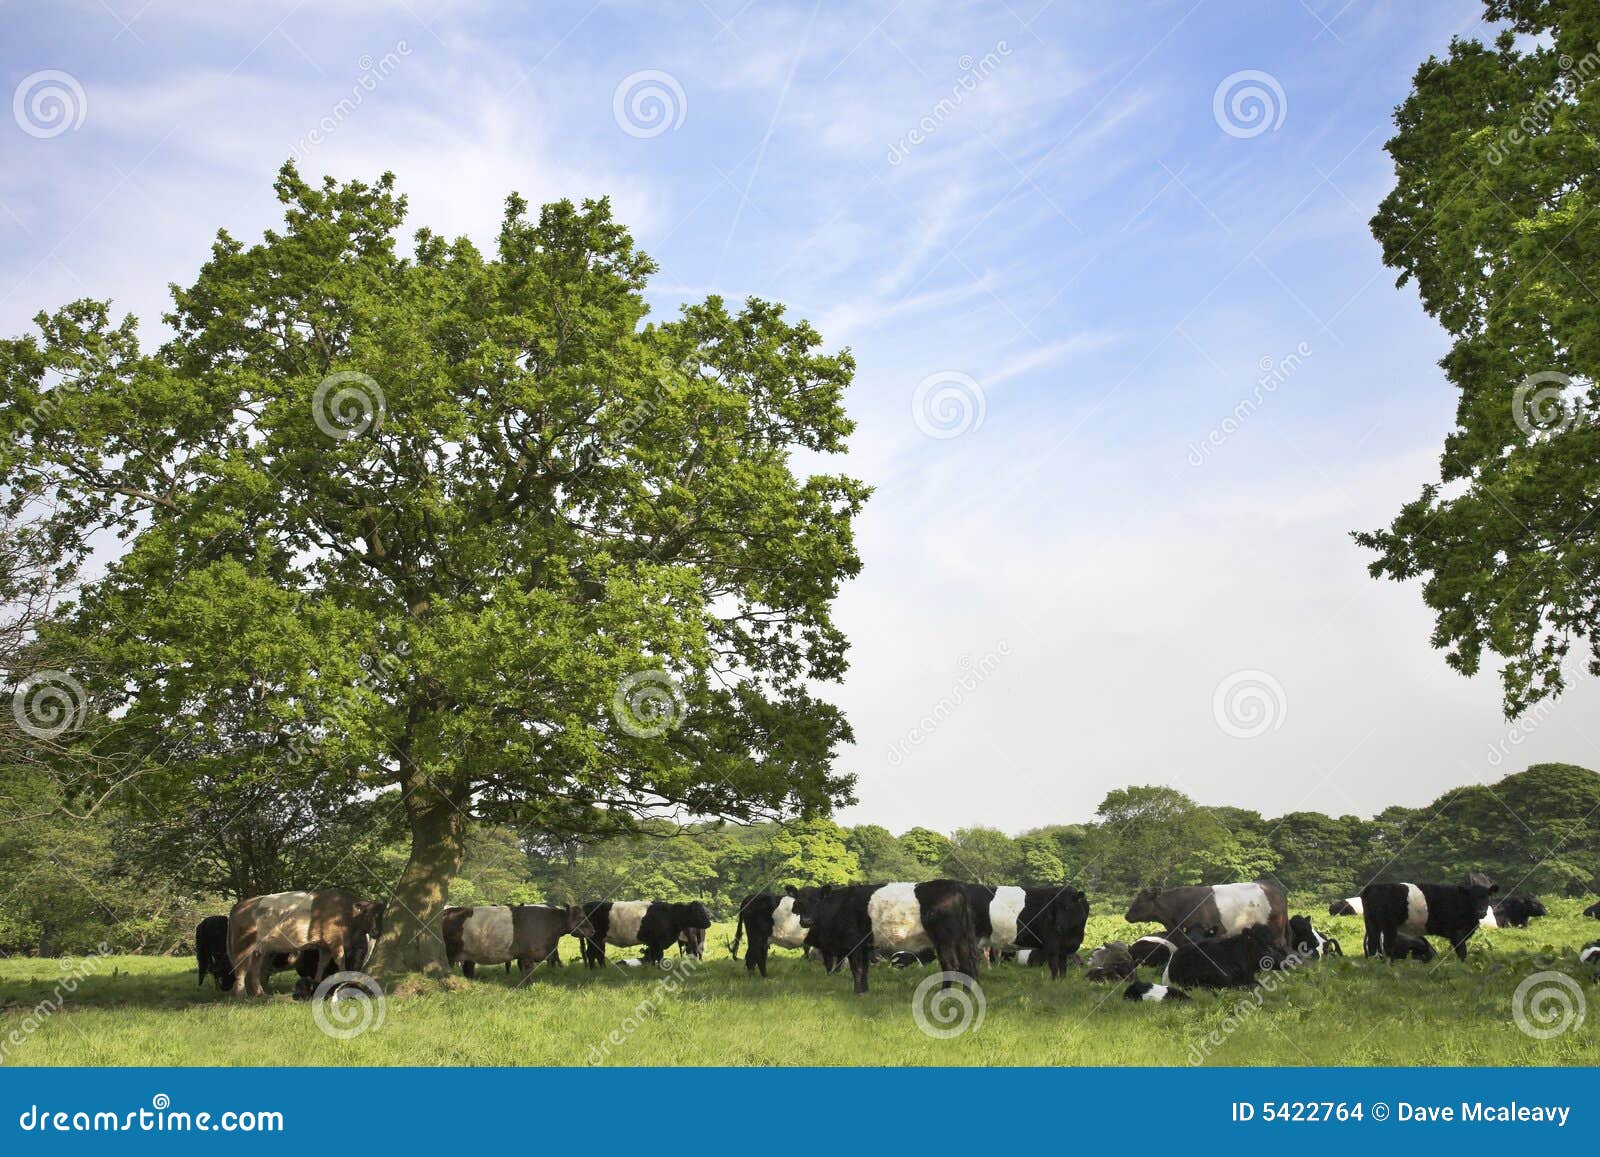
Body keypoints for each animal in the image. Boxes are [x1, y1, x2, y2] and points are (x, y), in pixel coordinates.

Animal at [226, 890, 385, 996]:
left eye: (381, 915)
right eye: (367, 914)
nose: (377, 932)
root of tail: (240, 905)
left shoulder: (324, 946)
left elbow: (322, 965)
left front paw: (317, 982)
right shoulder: (334, 941)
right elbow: (340, 960)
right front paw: (342, 979)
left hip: (259, 950)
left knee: (254, 970)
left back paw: (260, 994)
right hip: (243, 945)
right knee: (241, 968)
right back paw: (242, 994)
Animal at [442, 904, 594, 978]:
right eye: (581, 917)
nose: (593, 930)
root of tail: (448, 911)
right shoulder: (527, 956)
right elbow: (528, 974)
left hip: (469, 956)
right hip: (449, 953)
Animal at [579, 900, 712, 966]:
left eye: (705, 910)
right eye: (698, 911)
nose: (709, 923)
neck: (670, 915)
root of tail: (586, 905)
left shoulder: (653, 943)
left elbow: (655, 957)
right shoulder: (656, 942)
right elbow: (657, 956)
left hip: (599, 940)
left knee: (599, 954)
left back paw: (603, 969)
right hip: (594, 938)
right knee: (591, 954)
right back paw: (594, 970)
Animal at [786, 881, 980, 995]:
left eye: (817, 901)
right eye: (799, 902)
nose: (806, 921)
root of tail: (954, 885)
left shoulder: (854, 944)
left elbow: (856, 969)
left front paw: (857, 993)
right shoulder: (865, 946)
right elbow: (864, 969)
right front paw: (864, 992)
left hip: (945, 939)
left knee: (950, 965)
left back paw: (944, 993)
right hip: (961, 939)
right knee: (967, 964)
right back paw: (967, 993)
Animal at [1359, 881, 1497, 962]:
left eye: (1487, 897)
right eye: (1472, 897)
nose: (1481, 912)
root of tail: (1373, 887)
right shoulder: (1457, 932)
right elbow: (1462, 951)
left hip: (1372, 923)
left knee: (1373, 943)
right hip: (1389, 925)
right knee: (1387, 945)